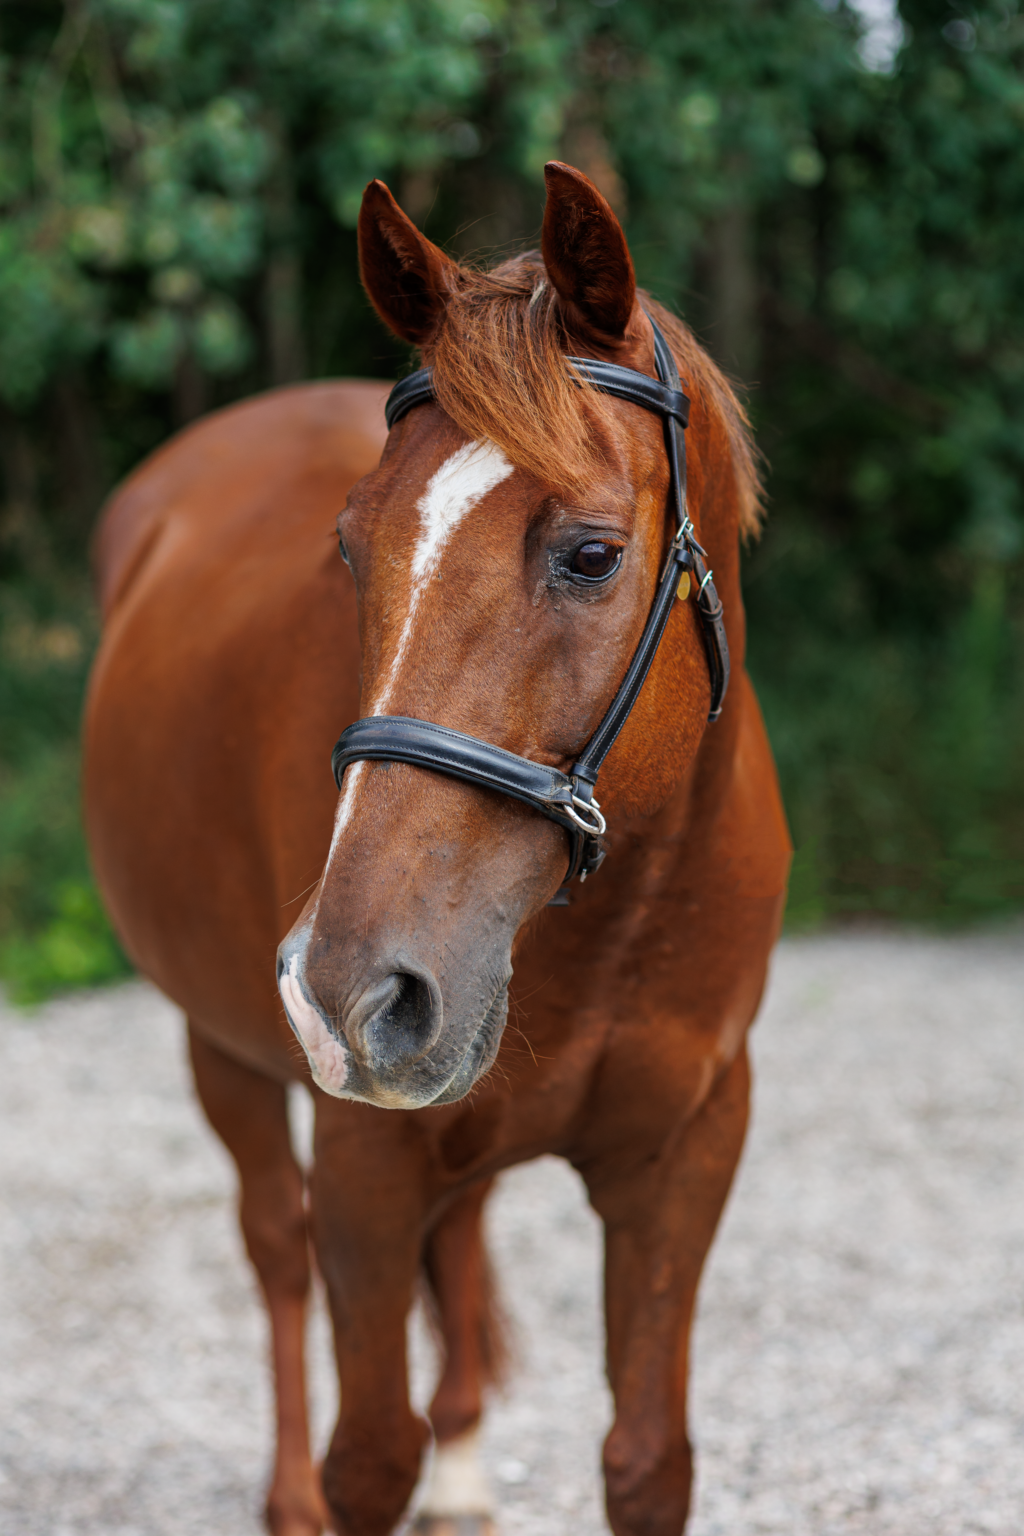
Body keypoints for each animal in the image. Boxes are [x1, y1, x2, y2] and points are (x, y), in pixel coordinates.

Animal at [83, 161, 790, 1536]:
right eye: (351, 551)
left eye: (589, 555)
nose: (348, 988)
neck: (613, 922)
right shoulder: (364, 1155)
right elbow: (369, 1451)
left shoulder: (684, 1158)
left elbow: (646, 1460)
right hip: (229, 1052)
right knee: (274, 1252)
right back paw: (291, 1494)